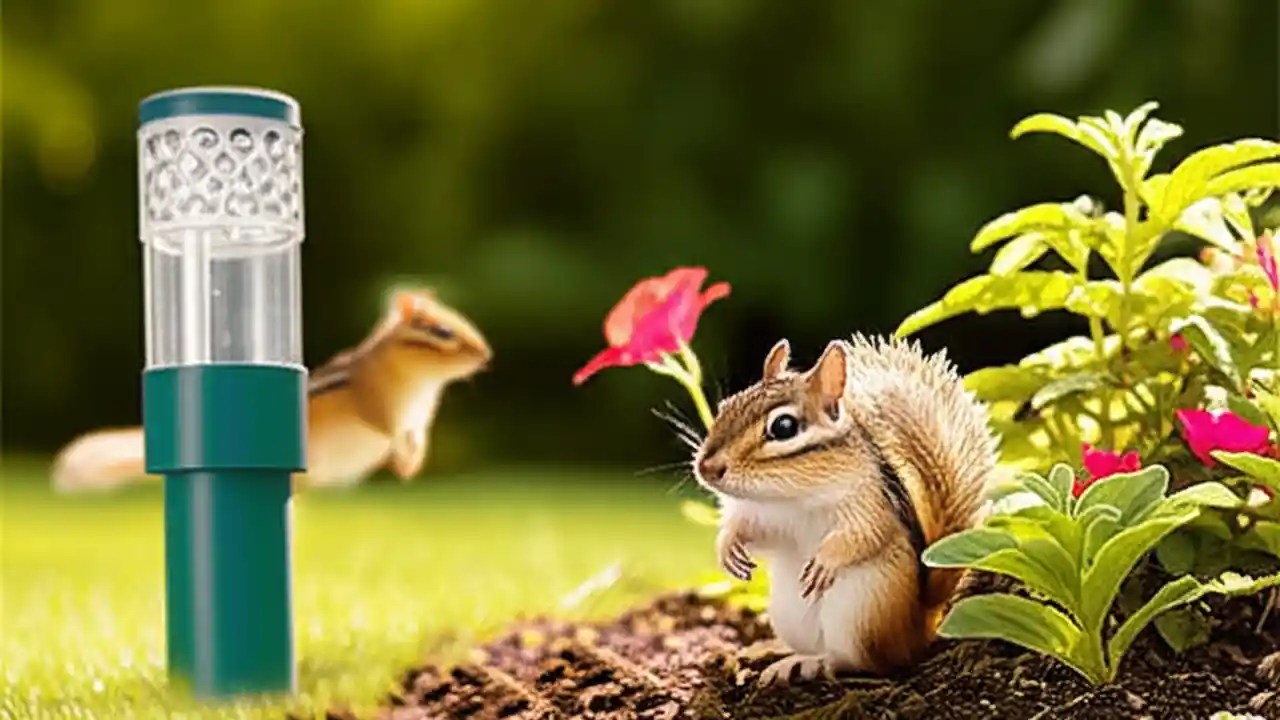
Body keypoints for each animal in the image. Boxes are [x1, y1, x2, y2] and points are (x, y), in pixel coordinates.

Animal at [51, 288, 492, 492]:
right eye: (442, 332)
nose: (486, 355)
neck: (422, 386)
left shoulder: (421, 416)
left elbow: (418, 436)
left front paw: (411, 463)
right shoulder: (374, 401)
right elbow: (386, 428)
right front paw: (400, 454)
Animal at [693, 334, 998, 686]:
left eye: (783, 427)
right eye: (726, 406)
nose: (707, 467)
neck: (784, 494)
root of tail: (918, 626)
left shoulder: (866, 504)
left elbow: (865, 535)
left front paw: (826, 561)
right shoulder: (760, 515)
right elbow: (745, 529)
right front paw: (728, 548)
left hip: (859, 613)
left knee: (862, 662)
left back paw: (812, 663)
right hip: (788, 615)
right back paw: (777, 654)